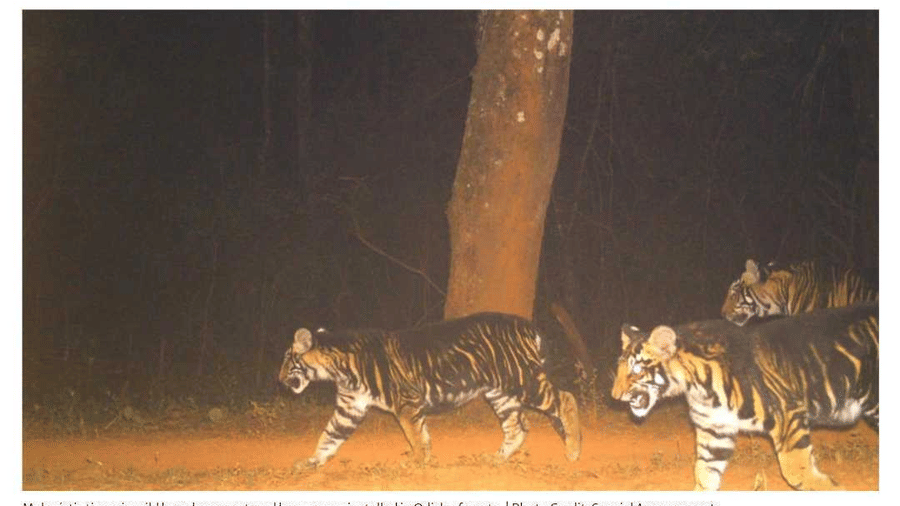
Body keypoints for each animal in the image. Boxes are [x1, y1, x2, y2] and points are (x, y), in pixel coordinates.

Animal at [278, 312, 582, 470]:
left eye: (287, 359)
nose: (278, 379)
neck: (338, 370)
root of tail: (528, 324)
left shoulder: (405, 403)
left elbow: (414, 435)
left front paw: (416, 462)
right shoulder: (349, 408)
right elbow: (329, 435)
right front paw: (311, 461)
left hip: (526, 381)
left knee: (566, 399)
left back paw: (573, 451)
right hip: (501, 394)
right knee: (516, 427)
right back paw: (496, 459)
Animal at [612, 302, 878, 491]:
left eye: (636, 370)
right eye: (620, 367)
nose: (614, 396)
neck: (698, 387)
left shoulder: (788, 417)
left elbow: (798, 472)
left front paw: (834, 488)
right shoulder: (715, 433)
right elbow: (704, 475)